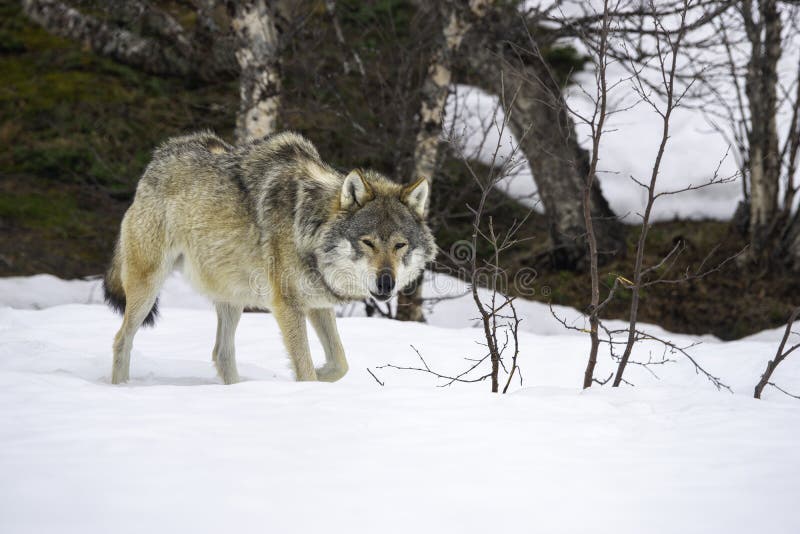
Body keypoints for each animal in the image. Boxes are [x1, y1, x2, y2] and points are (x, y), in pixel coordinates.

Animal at [103, 131, 436, 384]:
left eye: (400, 245)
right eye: (367, 243)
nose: (386, 283)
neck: (308, 226)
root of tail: (157, 158)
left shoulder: (317, 303)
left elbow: (340, 363)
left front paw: (319, 375)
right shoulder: (287, 304)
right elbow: (305, 365)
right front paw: (307, 383)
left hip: (232, 297)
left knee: (221, 354)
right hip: (148, 288)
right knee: (121, 340)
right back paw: (121, 389)